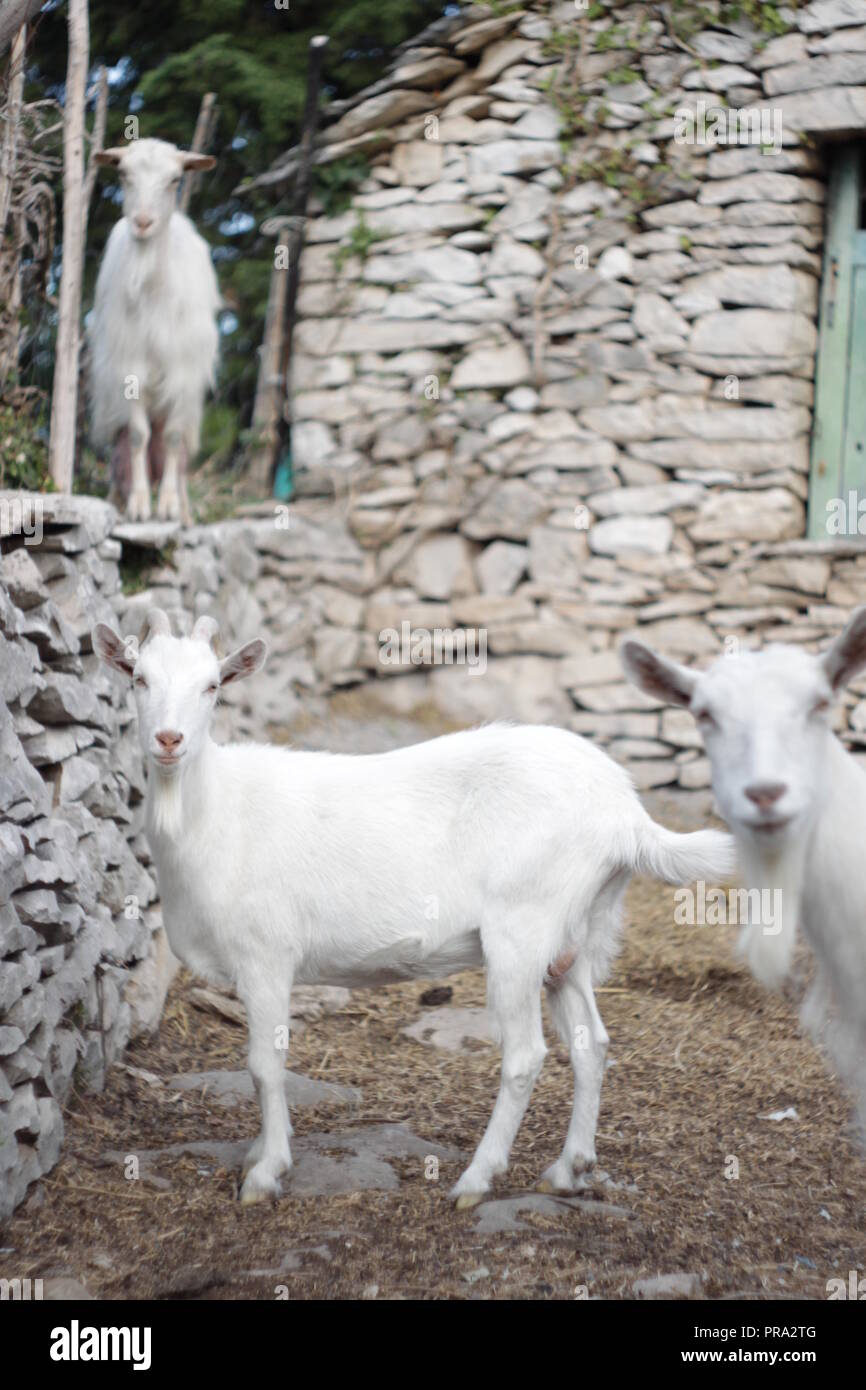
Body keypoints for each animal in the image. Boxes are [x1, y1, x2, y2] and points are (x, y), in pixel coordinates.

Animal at [88, 138, 220, 524]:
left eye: (175, 179)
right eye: (123, 174)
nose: (143, 222)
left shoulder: (183, 372)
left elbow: (173, 438)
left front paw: (169, 507)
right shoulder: (127, 368)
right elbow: (137, 435)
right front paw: (138, 504)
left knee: (178, 448)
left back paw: (185, 511)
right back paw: (118, 495)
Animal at [93, 609, 735, 1206]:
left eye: (212, 686)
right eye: (139, 679)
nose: (169, 740)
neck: (215, 812)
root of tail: (626, 813)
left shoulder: (266, 955)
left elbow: (264, 1065)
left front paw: (265, 1171)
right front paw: (256, 1153)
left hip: (521, 929)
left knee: (525, 1056)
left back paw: (476, 1179)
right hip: (572, 937)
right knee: (591, 1045)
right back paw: (567, 1169)